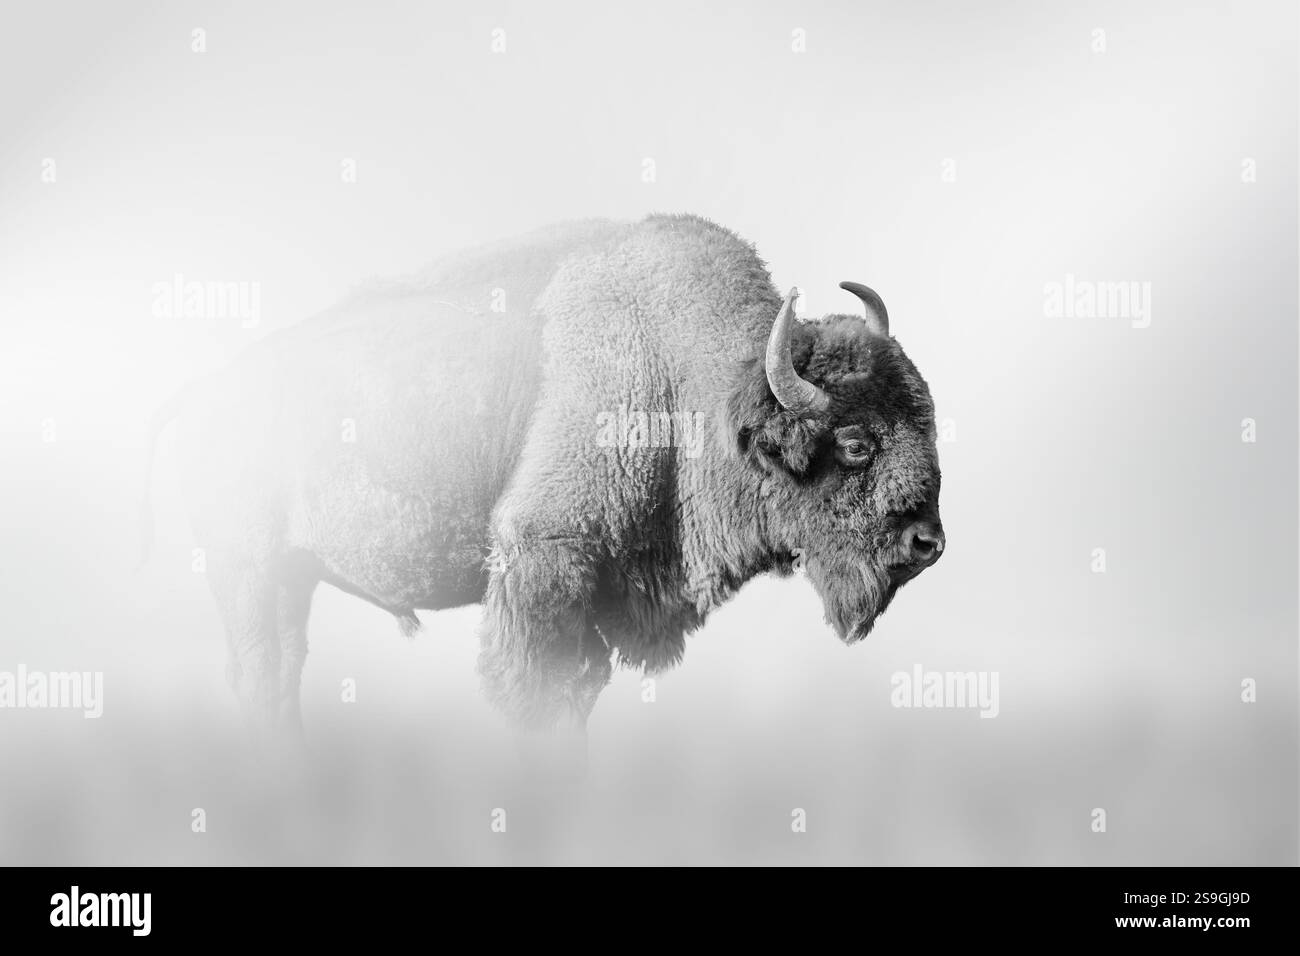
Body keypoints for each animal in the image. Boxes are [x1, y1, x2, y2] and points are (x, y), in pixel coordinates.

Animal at [142, 214, 944, 736]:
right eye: (855, 443)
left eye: (927, 420)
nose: (926, 544)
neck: (685, 382)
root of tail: (204, 392)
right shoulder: (543, 559)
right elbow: (532, 692)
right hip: (247, 572)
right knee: (261, 679)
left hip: (289, 578)